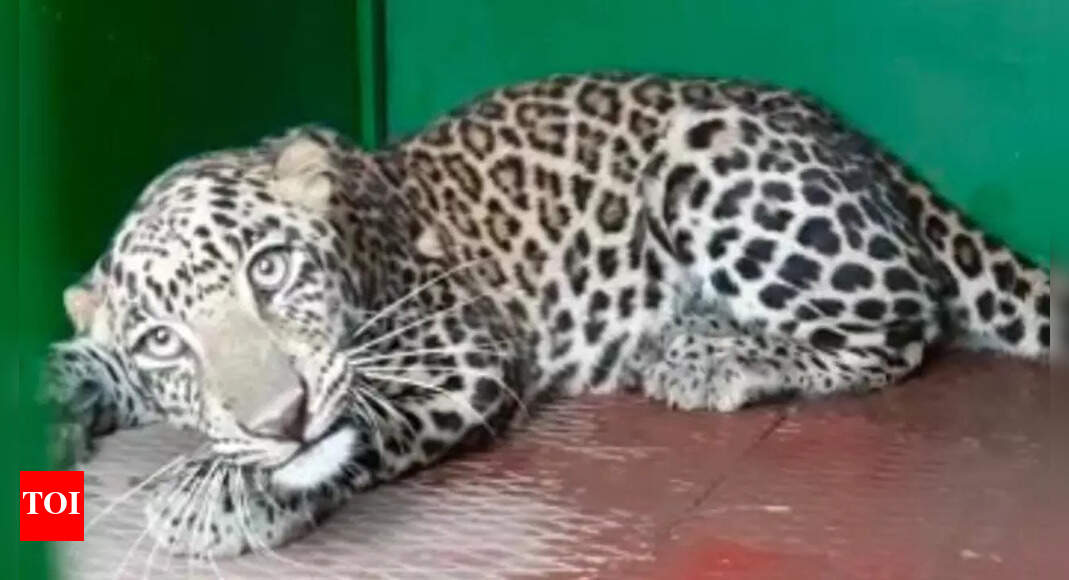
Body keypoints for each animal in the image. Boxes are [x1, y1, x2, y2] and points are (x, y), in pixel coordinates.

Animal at [45, 73, 1053, 558]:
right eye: (163, 341)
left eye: (271, 268)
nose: (277, 421)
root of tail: (857, 141)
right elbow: (86, 355)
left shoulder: (461, 348)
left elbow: (358, 419)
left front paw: (220, 493)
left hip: (708, 165)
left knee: (904, 322)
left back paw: (704, 354)